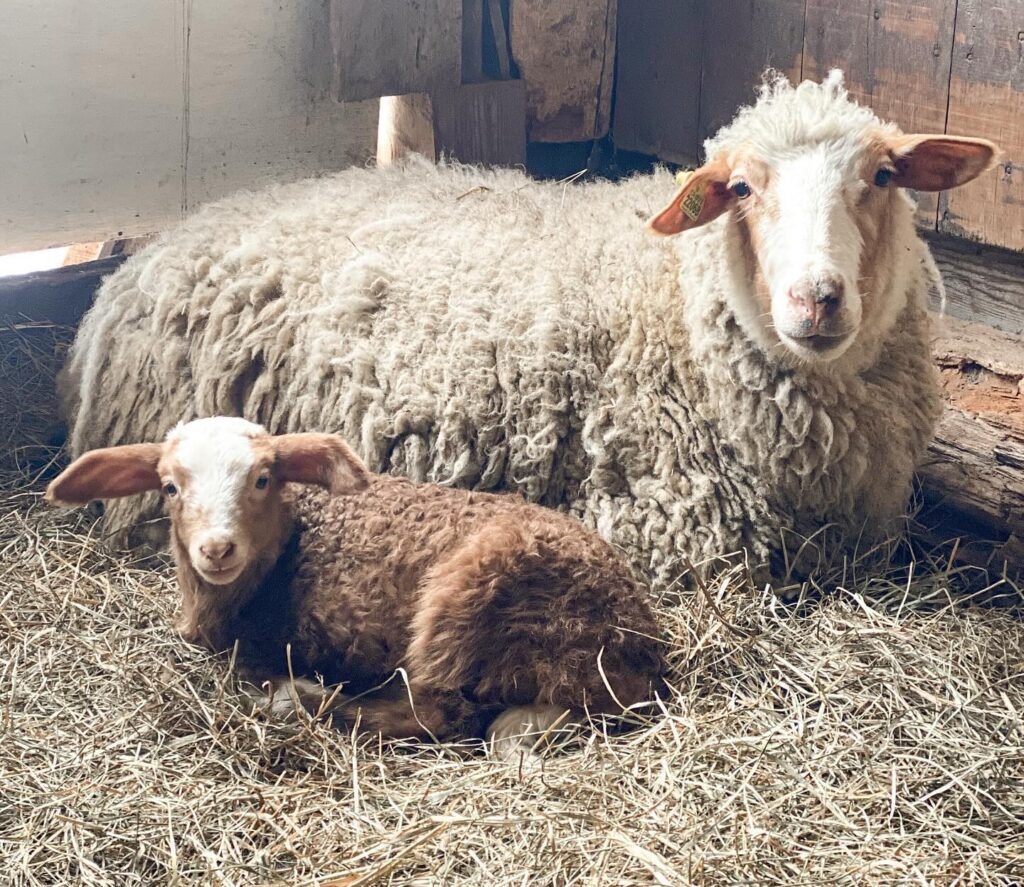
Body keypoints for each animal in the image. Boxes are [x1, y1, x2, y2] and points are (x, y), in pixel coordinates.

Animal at [45, 416, 666, 754]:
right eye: (170, 487)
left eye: (263, 479)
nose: (217, 549)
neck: (293, 541)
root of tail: (638, 648)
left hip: (466, 605)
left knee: (443, 715)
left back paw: (305, 699)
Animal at [57, 71, 999, 589]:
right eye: (740, 188)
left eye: (884, 176)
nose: (816, 300)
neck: (673, 296)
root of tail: (143, 260)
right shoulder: (663, 521)